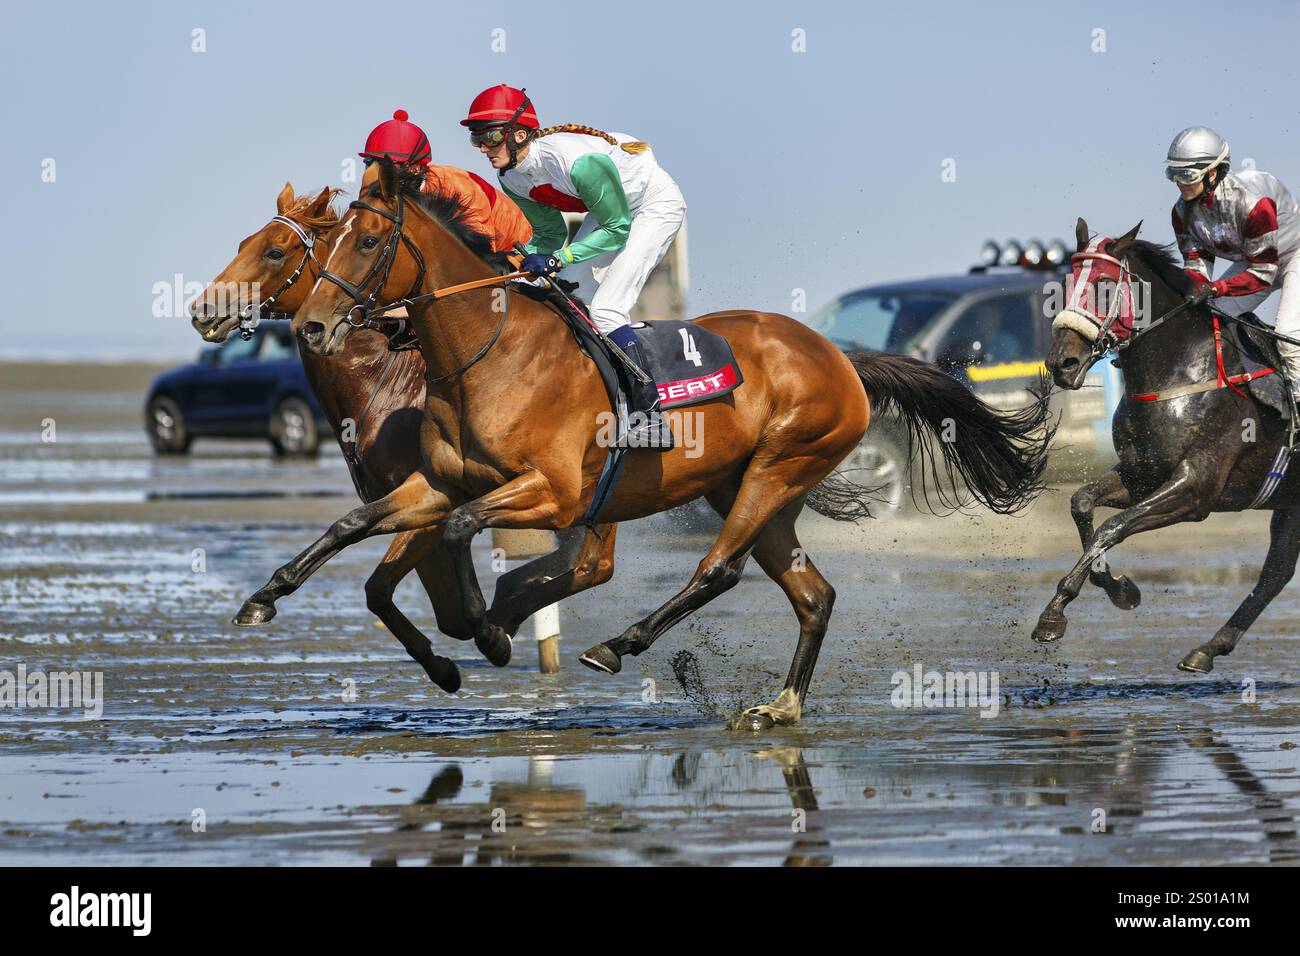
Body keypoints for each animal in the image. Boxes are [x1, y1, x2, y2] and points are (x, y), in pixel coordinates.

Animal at [188, 182, 624, 693]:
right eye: (244, 244)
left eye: (274, 251)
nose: (201, 310)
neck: (385, 377)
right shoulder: (418, 493)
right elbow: (384, 587)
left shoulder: (438, 495)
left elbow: (429, 601)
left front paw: (487, 632)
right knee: (593, 563)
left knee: (593, 563)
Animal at [239, 158, 1052, 729]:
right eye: (327, 246)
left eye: (370, 241)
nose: (313, 327)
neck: (485, 357)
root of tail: (840, 356)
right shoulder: (435, 482)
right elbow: (353, 523)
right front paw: (263, 598)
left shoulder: (556, 492)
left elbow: (464, 530)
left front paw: (486, 625)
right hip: (750, 488)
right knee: (813, 594)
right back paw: (780, 706)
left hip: (780, 465)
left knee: (717, 569)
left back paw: (617, 645)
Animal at [1040, 216, 1300, 673]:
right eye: (1067, 283)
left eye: (1104, 283)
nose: (1061, 364)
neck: (1180, 374)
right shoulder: (1142, 473)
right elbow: (1083, 504)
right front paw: (1119, 587)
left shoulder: (1196, 489)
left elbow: (1112, 526)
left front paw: (1055, 611)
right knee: (1277, 570)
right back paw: (1207, 650)